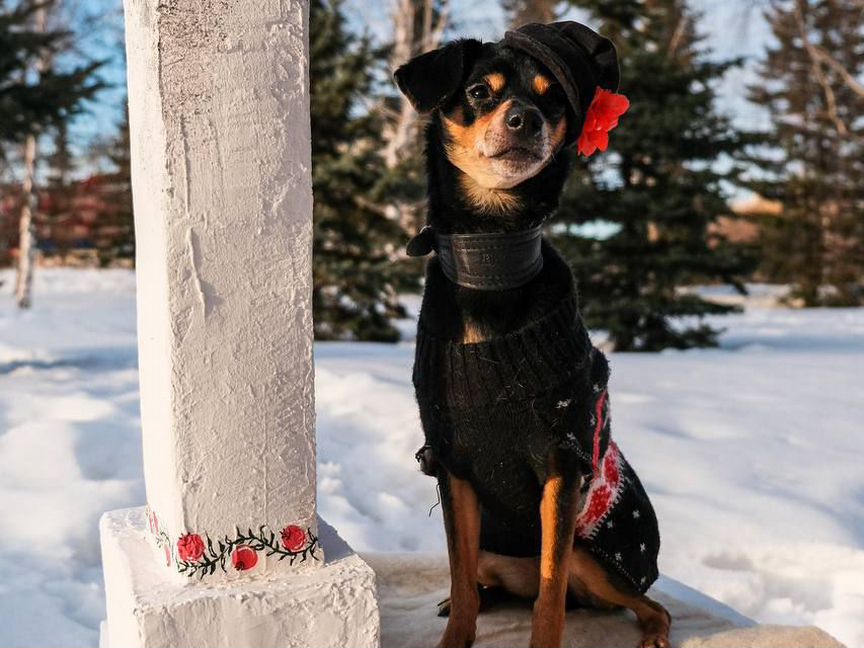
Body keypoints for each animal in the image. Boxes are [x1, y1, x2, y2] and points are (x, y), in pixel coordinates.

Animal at [394, 20, 672, 648]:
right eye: (479, 92)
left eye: (552, 99)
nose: (526, 119)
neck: (492, 261)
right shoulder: (453, 467)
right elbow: (461, 578)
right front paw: (456, 635)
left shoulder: (560, 465)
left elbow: (549, 594)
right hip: (494, 547)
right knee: (481, 581)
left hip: (596, 556)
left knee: (644, 604)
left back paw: (653, 633)